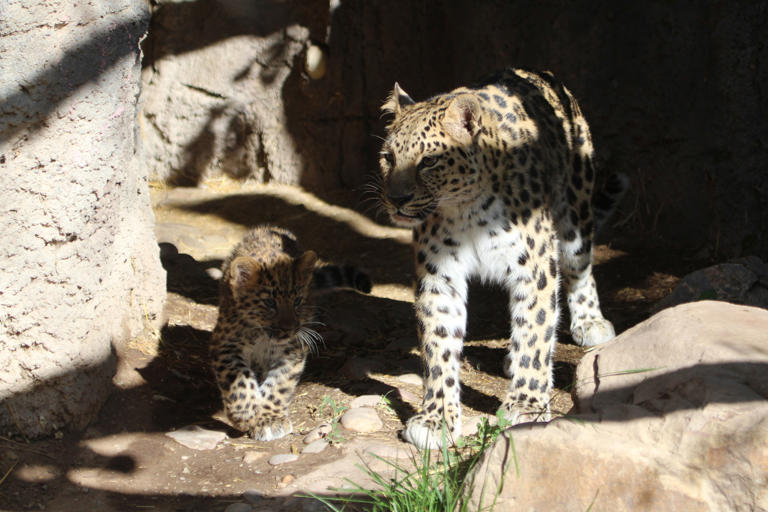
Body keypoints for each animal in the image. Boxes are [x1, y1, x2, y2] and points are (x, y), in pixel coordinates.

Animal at [210, 225, 371, 441]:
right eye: (269, 303)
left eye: (297, 301)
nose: (289, 328)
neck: (263, 338)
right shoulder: (225, 343)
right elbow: (239, 380)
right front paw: (245, 413)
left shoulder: (293, 349)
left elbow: (280, 384)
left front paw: (270, 419)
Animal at [376, 68, 627, 449]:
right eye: (388, 157)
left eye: (429, 161)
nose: (397, 199)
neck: (466, 210)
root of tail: (541, 74)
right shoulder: (439, 276)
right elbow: (440, 344)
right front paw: (437, 418)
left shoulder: (535, 268)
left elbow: (535, 333)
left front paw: (526, 403)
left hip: (576, 214)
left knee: (580, 269)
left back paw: (590, 322)